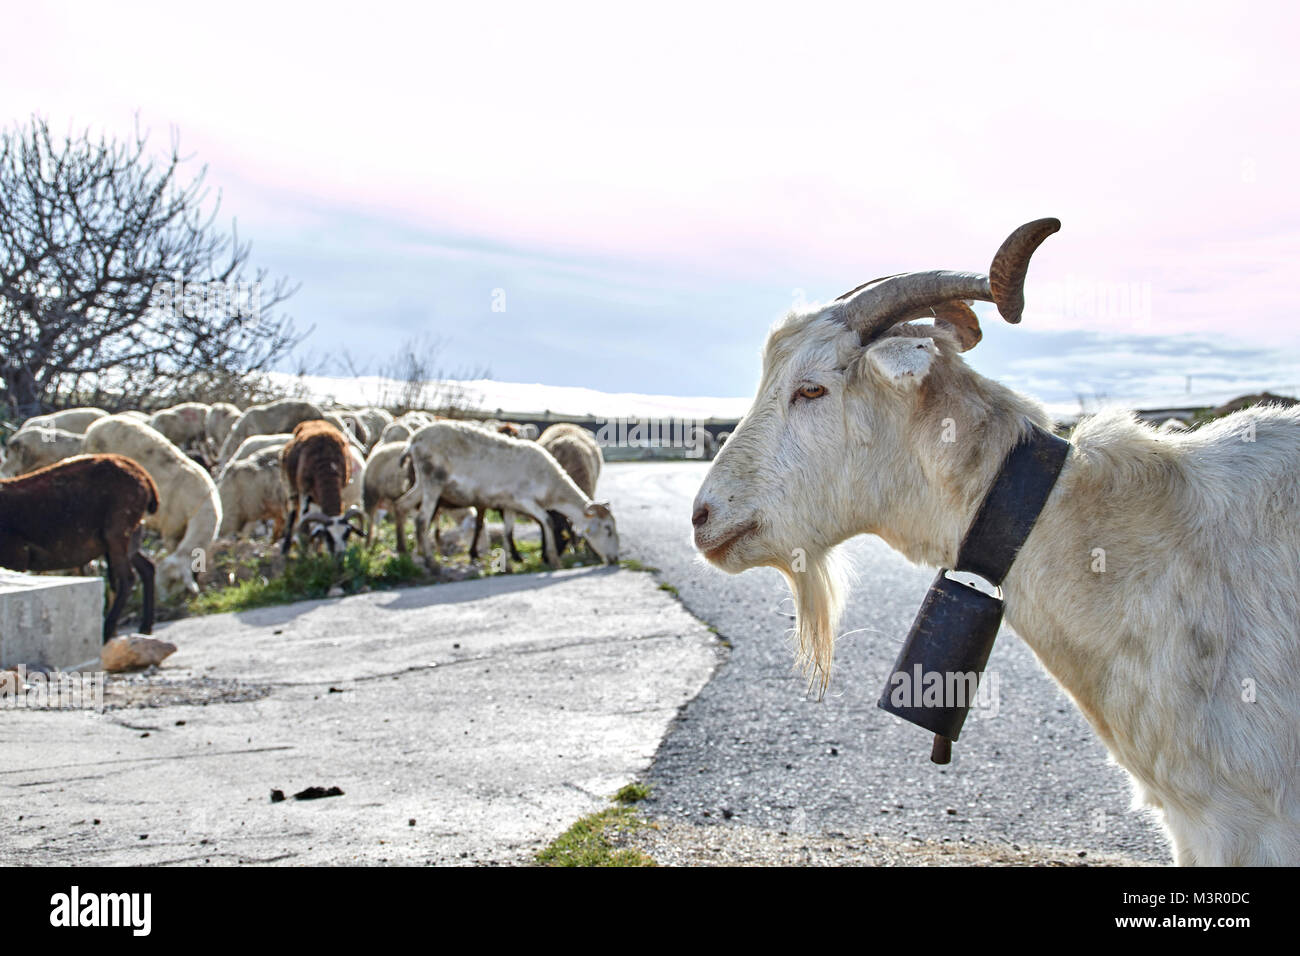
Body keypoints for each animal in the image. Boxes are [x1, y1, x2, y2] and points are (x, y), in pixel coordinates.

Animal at [0, 454, 157, 640]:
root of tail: (144, 476)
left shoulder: (16, 555)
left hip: (118, 530)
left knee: (127, 578)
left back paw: (108, 631)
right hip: (125, 537)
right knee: (147, 567)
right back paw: (145, 628)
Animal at [279, 420, 363, 554]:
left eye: (347, 534)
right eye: (328, 536)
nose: (339, 555)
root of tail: (312, 422)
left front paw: (318, 551)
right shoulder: (304, 494)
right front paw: (307, 552)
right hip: (291, 488)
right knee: (292, 514)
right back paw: (286, 547)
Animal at [398, 420, 618, 568]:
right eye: (608, 529)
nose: (615, 559)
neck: (553, 486)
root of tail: (413, 439)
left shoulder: (509, 503)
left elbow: (508, 532)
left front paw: (509, 564)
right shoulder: (525, 499)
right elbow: (547, 521)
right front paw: (553, 559)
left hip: (421, 482)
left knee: (402, 504)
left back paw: (405, 552)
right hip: (433, 481)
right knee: (421, 519)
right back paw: (430, 562)